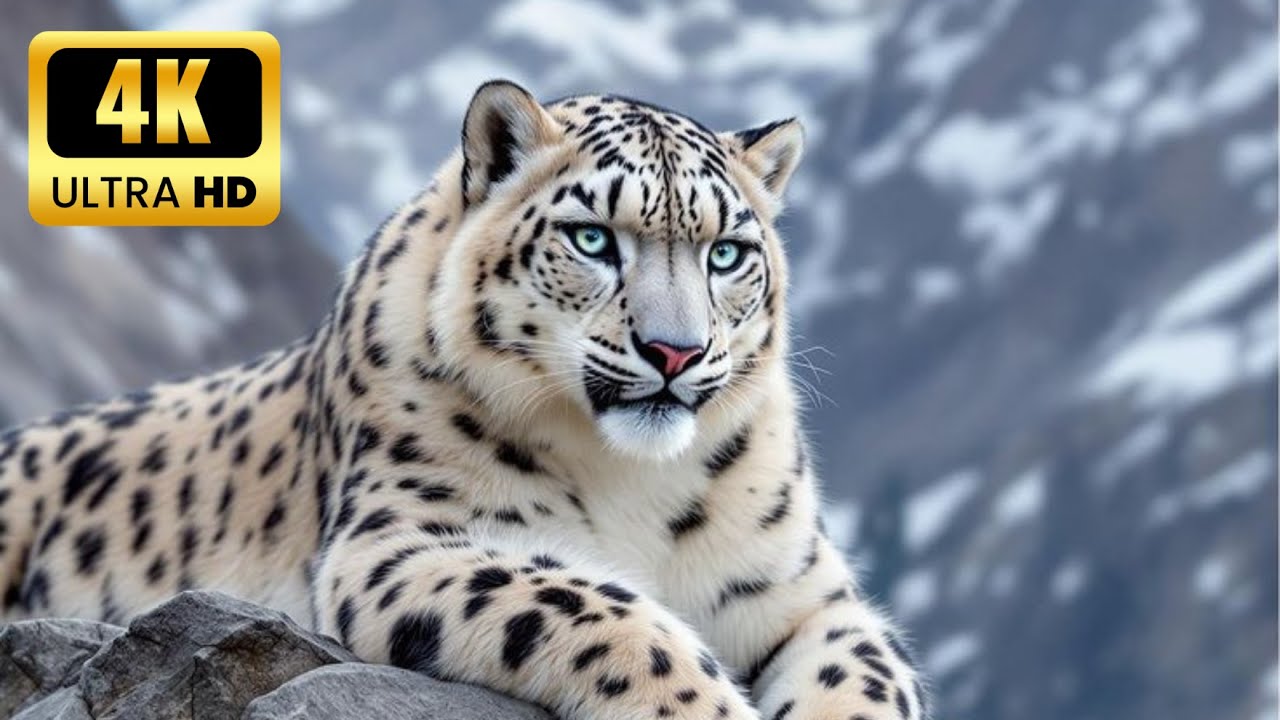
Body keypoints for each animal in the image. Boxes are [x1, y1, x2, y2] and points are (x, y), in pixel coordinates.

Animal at [0, 80, 926, 720]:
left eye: (728, 252)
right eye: (593, 238)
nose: (676, 350)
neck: (637, 483)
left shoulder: (804, 591)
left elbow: (864, 675)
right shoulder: (406, 537)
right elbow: (600, 607)